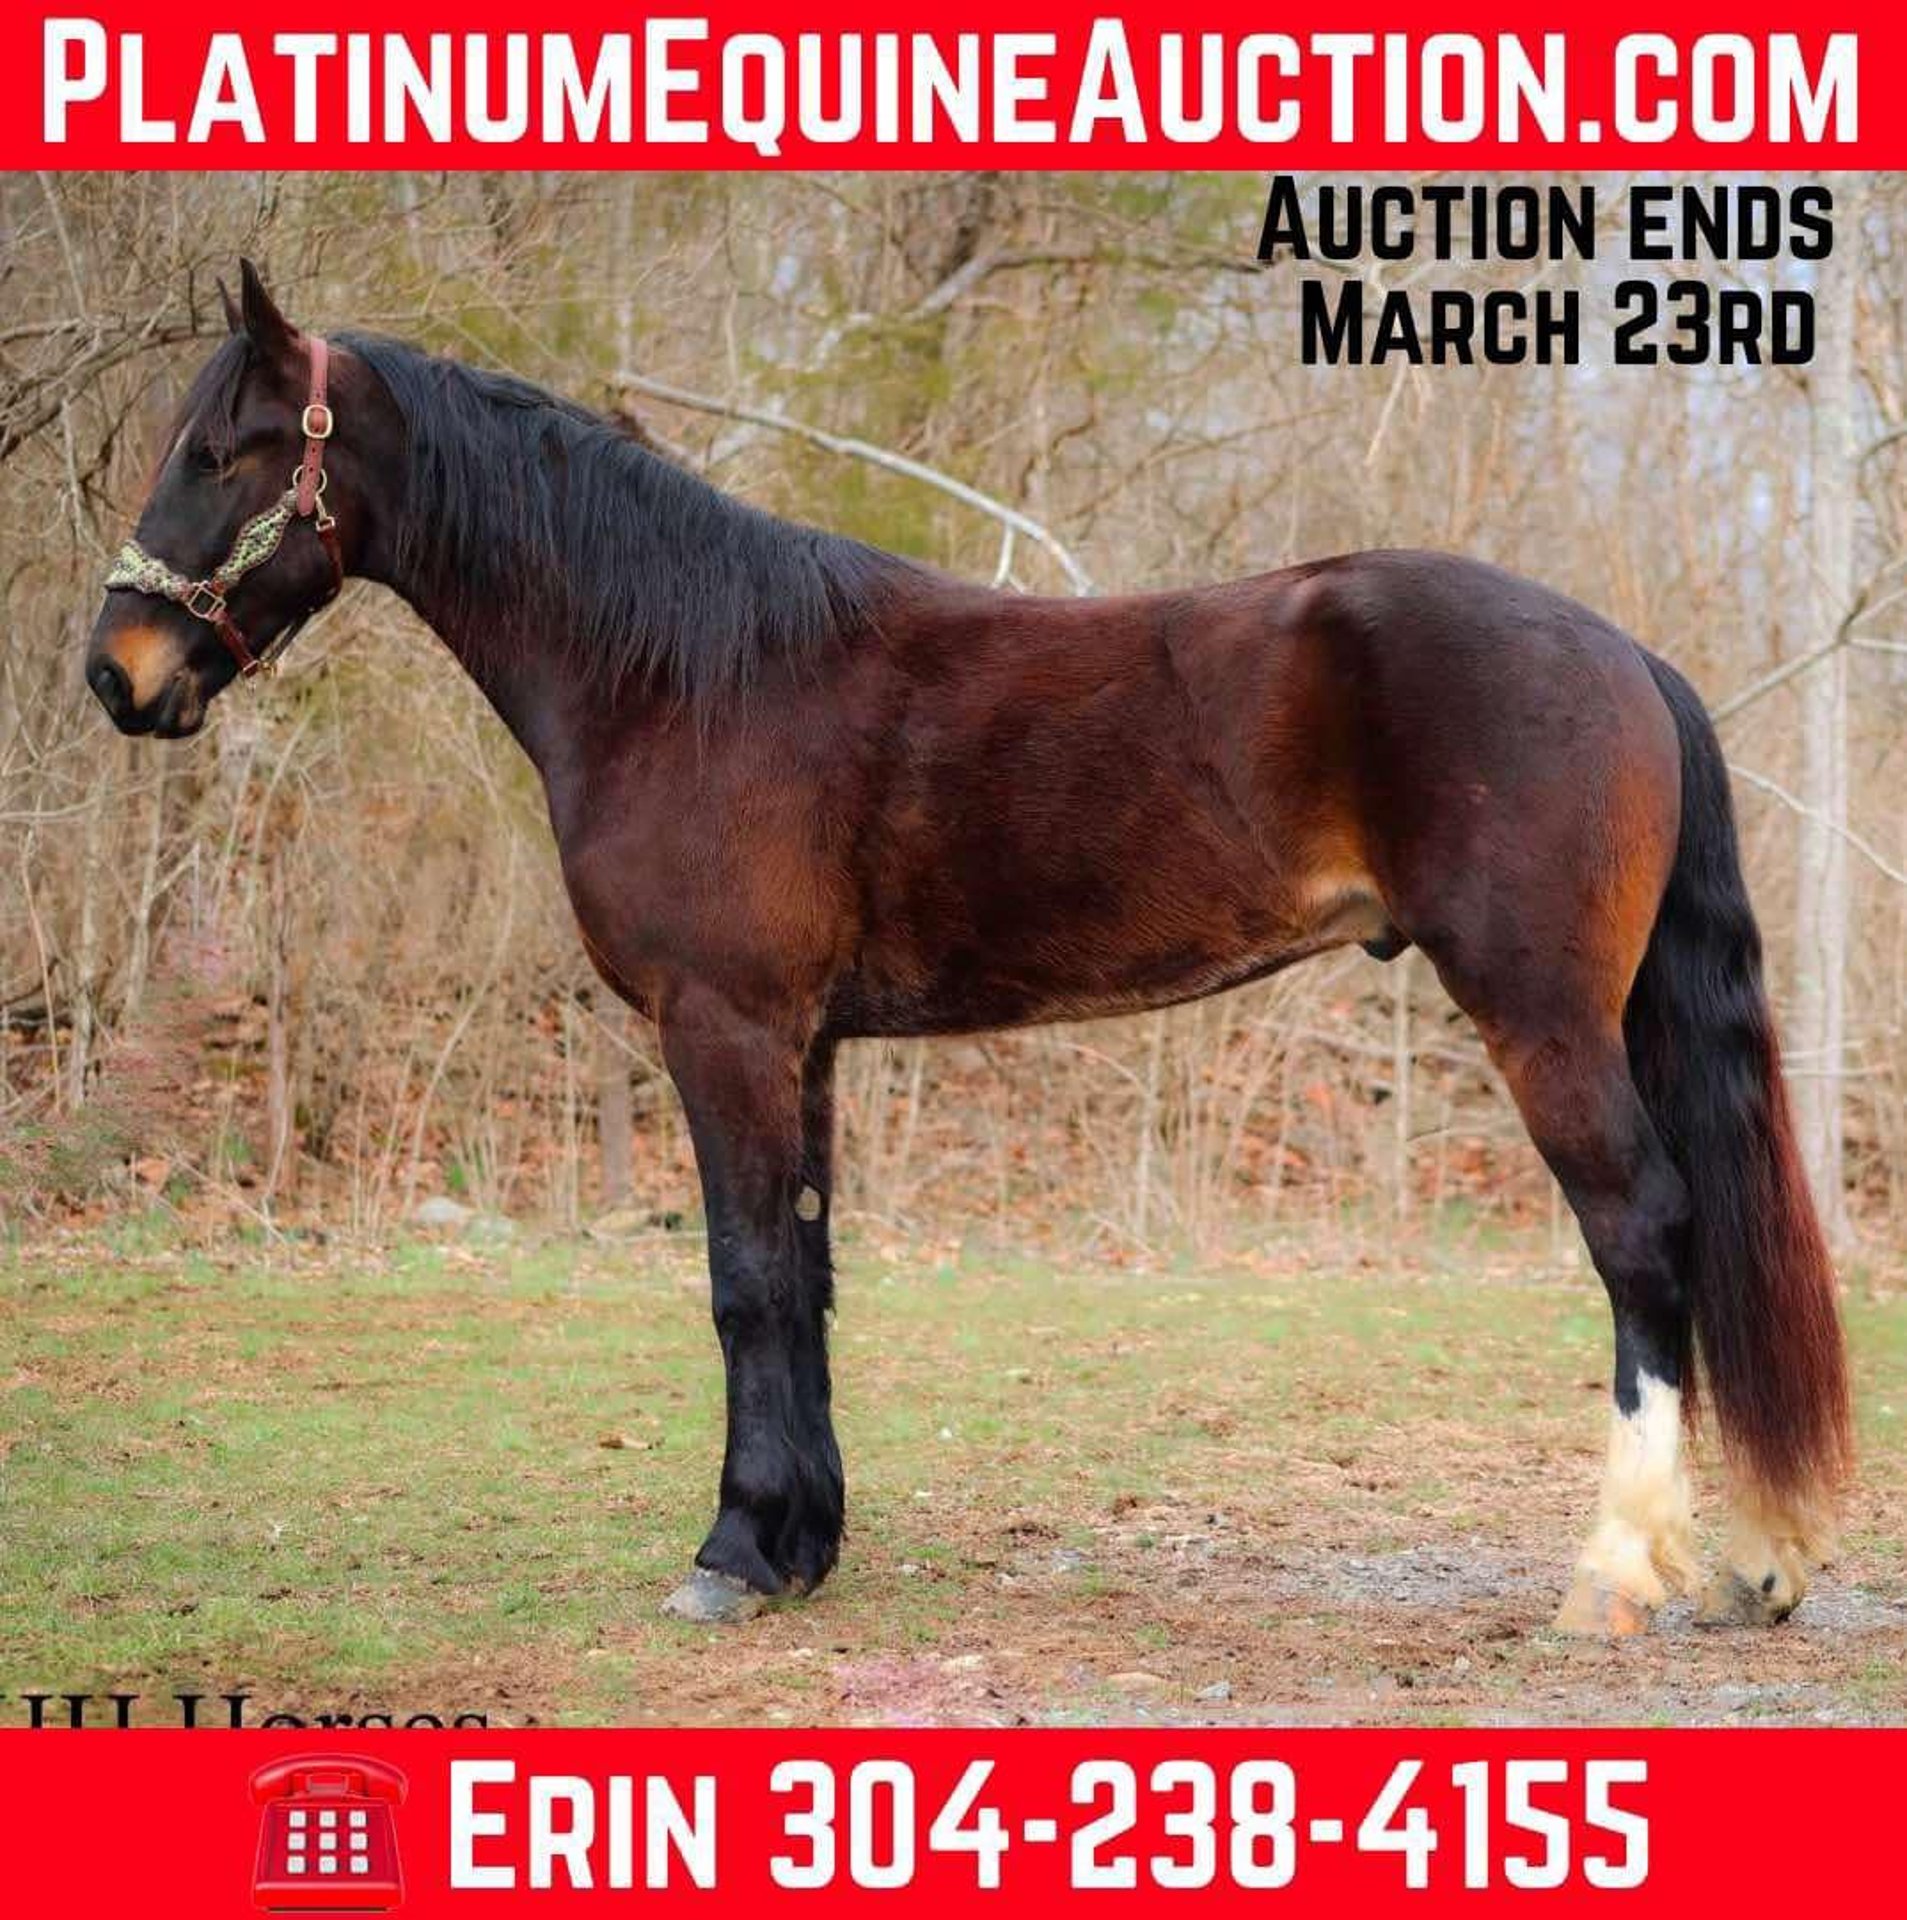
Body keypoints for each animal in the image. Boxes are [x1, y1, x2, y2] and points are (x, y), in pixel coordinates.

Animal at [85, 261, 1850, 1635]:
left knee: (1643, 1237)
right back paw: (1752, 1566)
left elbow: (738, 1282)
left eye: (227, 449)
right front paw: (798, 1545)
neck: (684, 674)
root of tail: (1619, 652)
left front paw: (729, 1558)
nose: (121, 670)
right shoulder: (801, 1046)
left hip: (1539, 1019)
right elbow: (801, 1279)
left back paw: (1614, 1572)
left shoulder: (722, 1028)